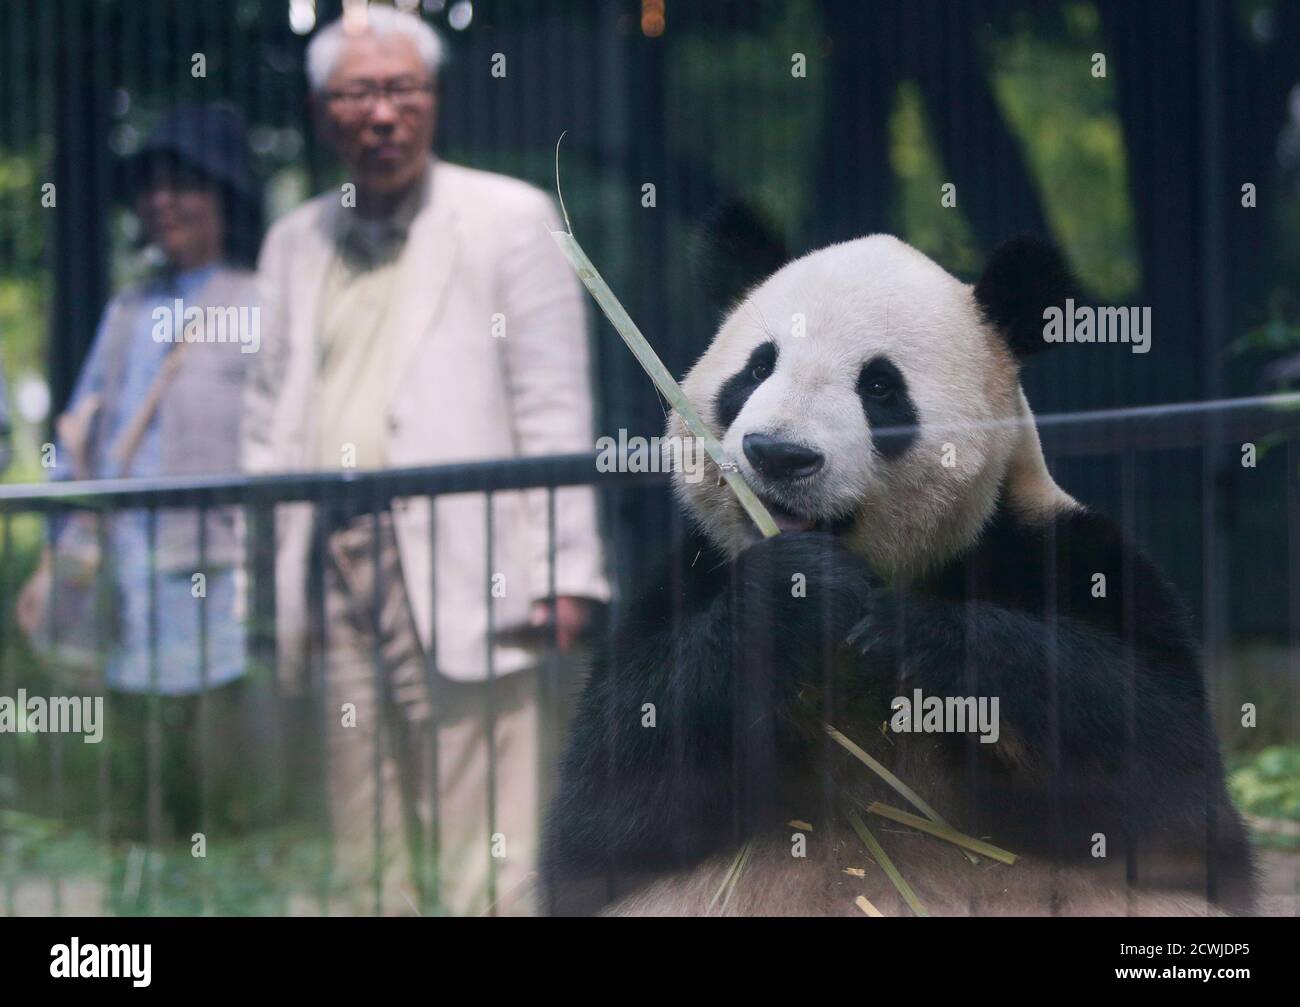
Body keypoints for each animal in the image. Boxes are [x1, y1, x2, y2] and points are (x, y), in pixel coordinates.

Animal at [542, 223, 1256, 916]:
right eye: (758, 366)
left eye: (880, 387)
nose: (778, 454)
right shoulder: (689, 576)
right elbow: (602, 810)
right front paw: (796, 593)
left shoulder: (1063, 551)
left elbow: (1171, 783)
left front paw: (912, 631)